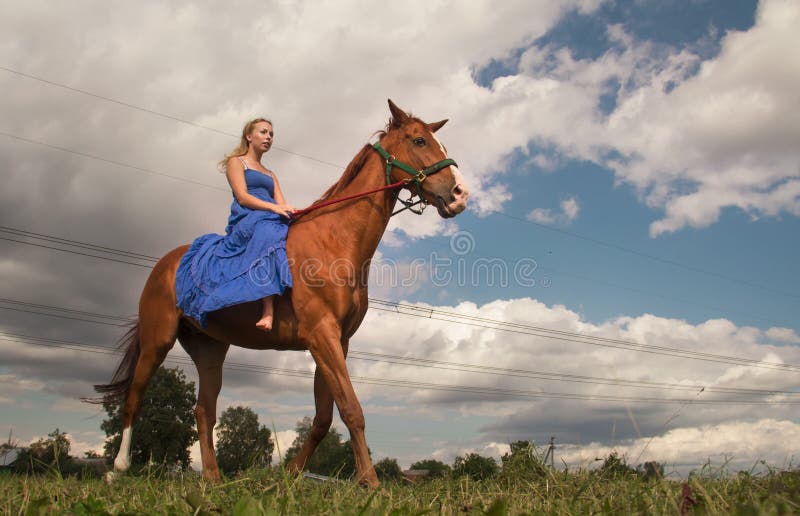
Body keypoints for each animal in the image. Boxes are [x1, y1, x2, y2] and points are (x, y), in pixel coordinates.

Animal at [94, 100, 470, 487]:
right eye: (419, 140)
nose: (459, 194)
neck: (333, 241)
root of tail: (165, 264)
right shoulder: (322, 336)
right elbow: (352, 409)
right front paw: (371, 483)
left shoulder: (336, 342)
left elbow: (323, 419)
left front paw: (291, 474)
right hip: (158, 340)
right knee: (134, 398)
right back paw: (117, 469)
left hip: (210, 349)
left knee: (203, 410)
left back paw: (213, 478)